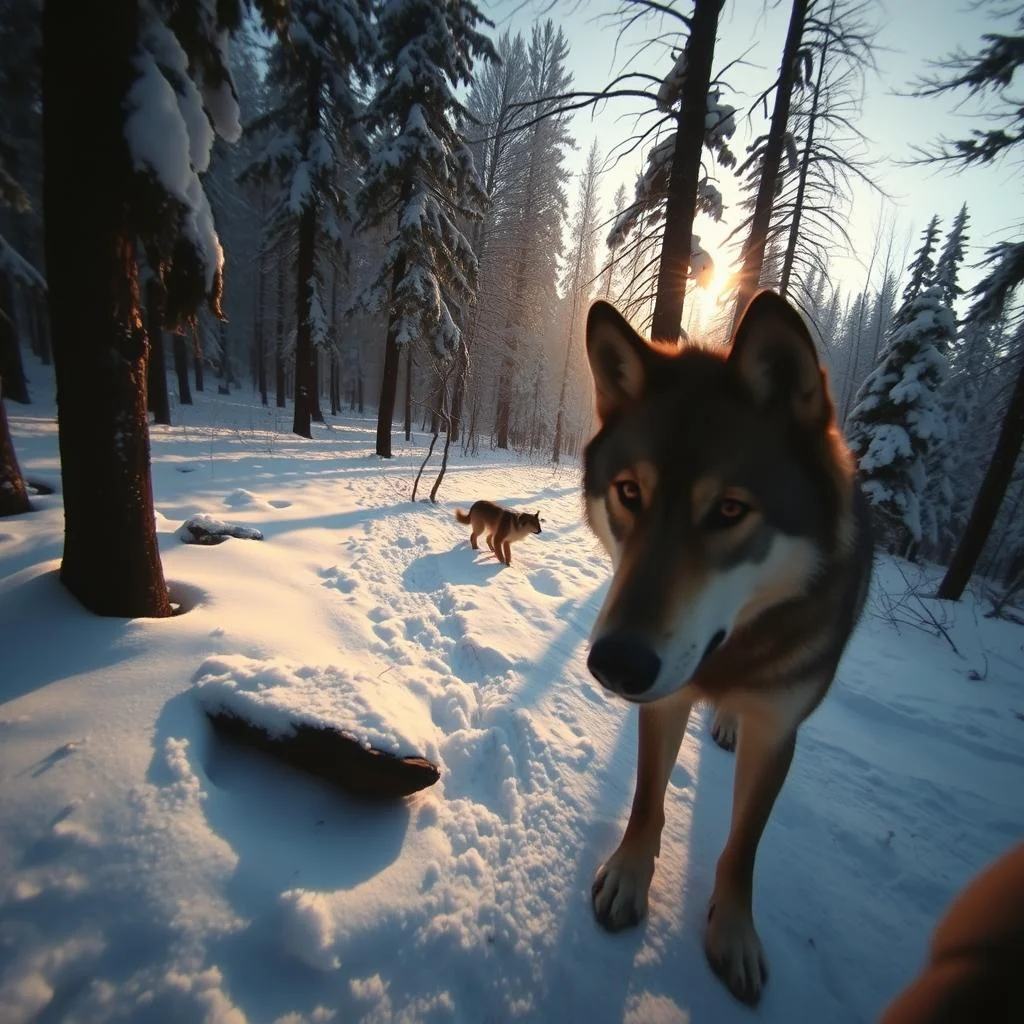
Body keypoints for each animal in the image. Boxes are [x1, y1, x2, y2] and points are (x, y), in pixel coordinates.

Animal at [581, 290, 874, 1005]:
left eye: (730, 510)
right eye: (629, 492)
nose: (615, 664)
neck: (732, 651)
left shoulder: (778, 729)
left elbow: (744, 847)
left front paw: (734, 934)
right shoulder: (665, 698)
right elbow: (646, 800)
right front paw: (628, 875)